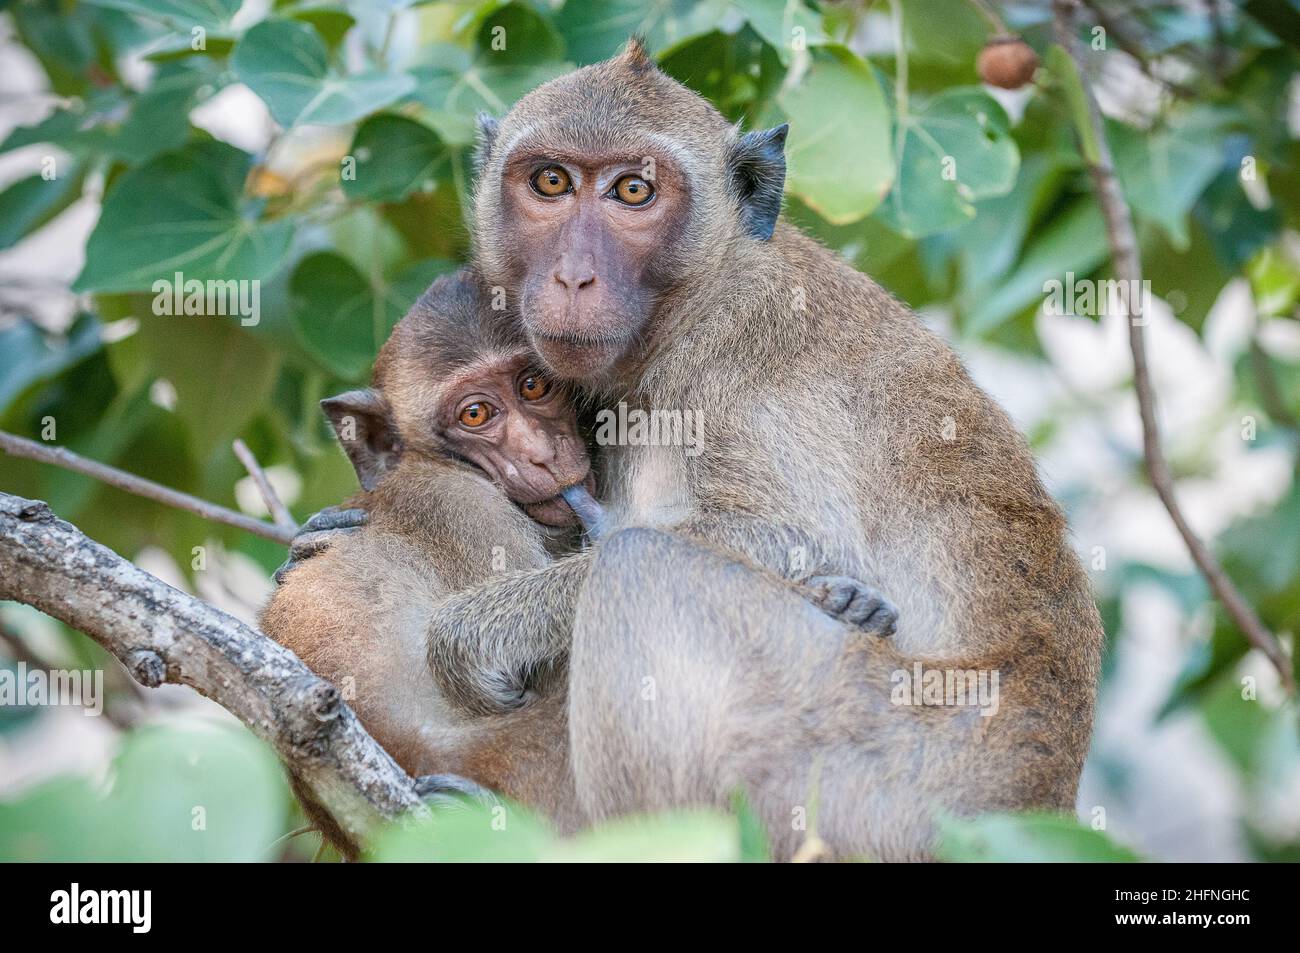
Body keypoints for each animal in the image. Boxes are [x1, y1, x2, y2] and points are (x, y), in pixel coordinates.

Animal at [404, 39, 1104, 861]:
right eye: (551, 181)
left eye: (633, 191)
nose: (574, 275)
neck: (699, 294)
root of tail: (1033, 806)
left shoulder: (735, 369)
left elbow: (796, 540)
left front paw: (473, 634)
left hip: (869, 771)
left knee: (640, 567)